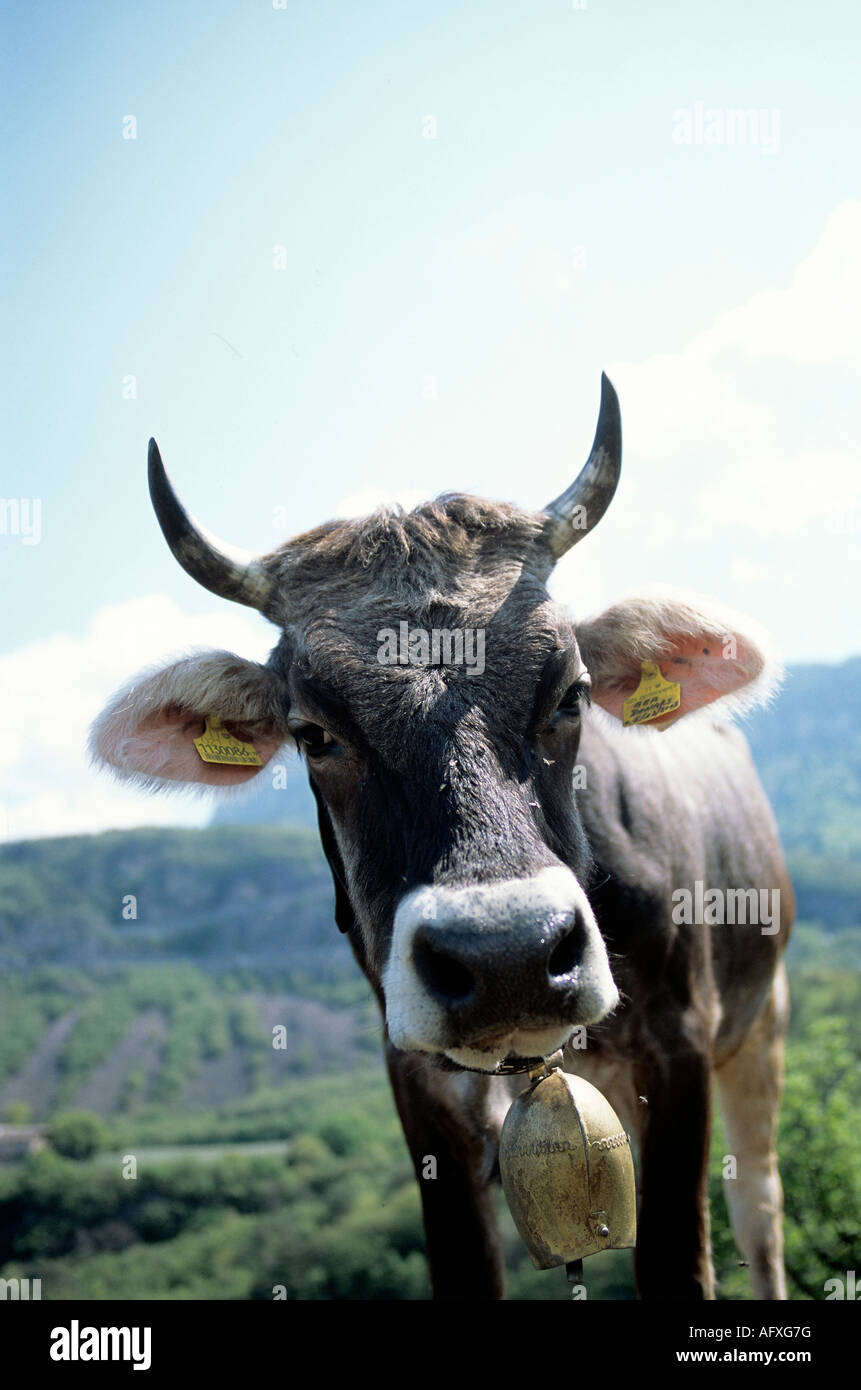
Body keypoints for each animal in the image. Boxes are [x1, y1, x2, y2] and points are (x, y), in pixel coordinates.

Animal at [90, 375, 793, 1301]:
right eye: (314, 734)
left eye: (571, 693)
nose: (508, 956)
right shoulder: (417, 1082)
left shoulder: (679, 1042)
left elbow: (681, 1258)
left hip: (760, 1021)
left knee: (758, 1206)